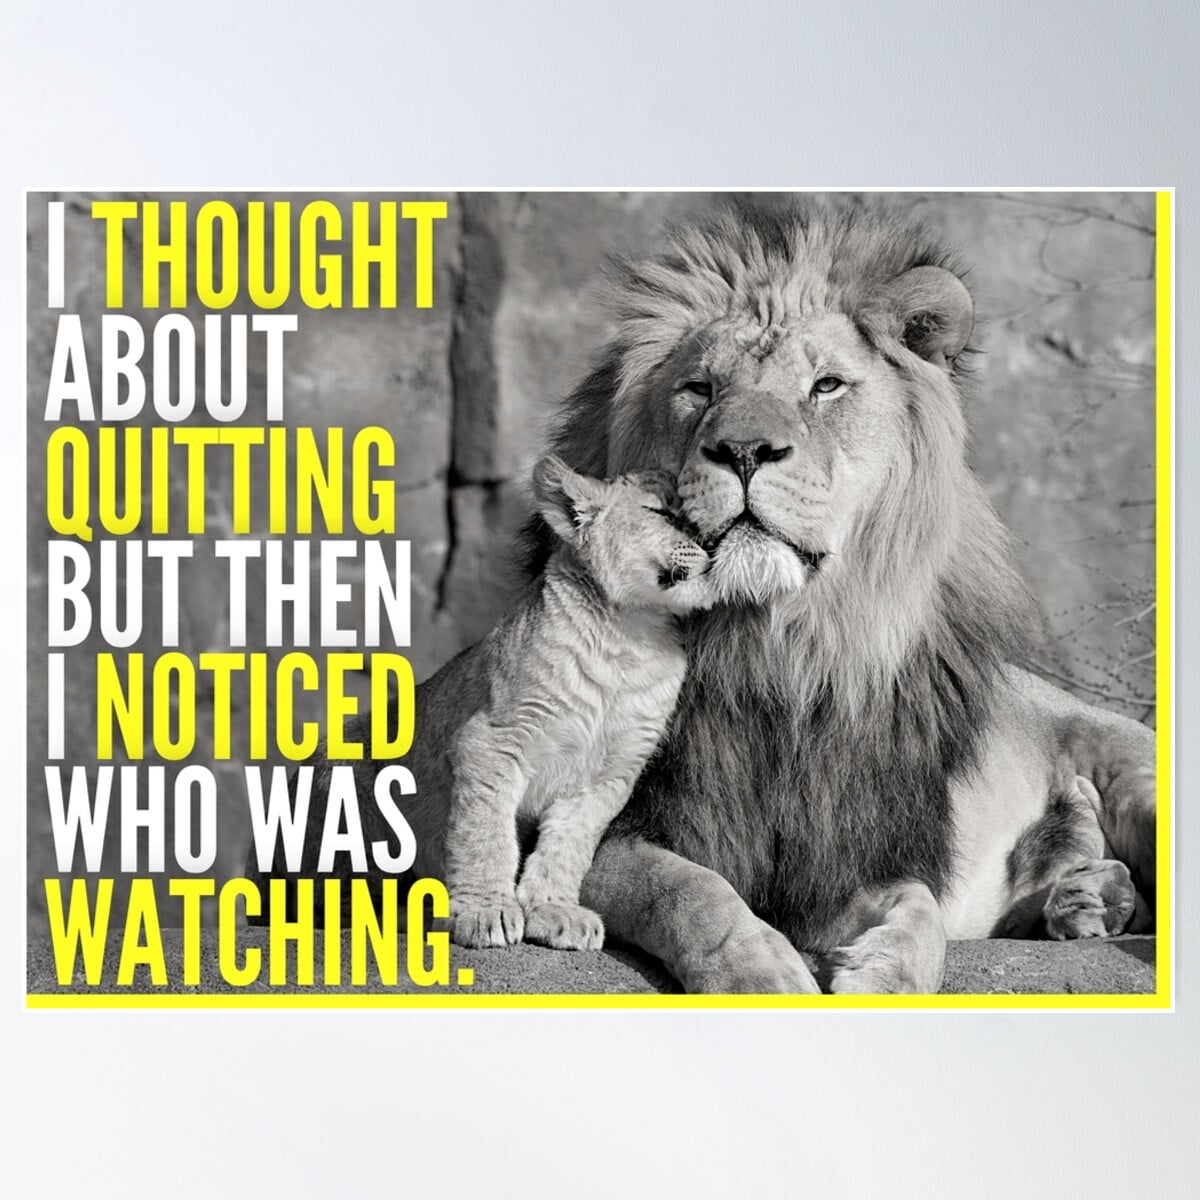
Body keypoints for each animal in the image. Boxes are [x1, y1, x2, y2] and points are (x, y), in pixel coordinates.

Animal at [253, 203, 1156, 994]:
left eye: (827, 386)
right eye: (699, 388)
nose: (744, 448)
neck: (779, 656)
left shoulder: (853, 852)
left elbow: (920, 912)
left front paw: (885, 974)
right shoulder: (628, 827)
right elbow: (691, 892)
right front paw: (761, 972)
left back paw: (1095, 898)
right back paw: (1086, 899)